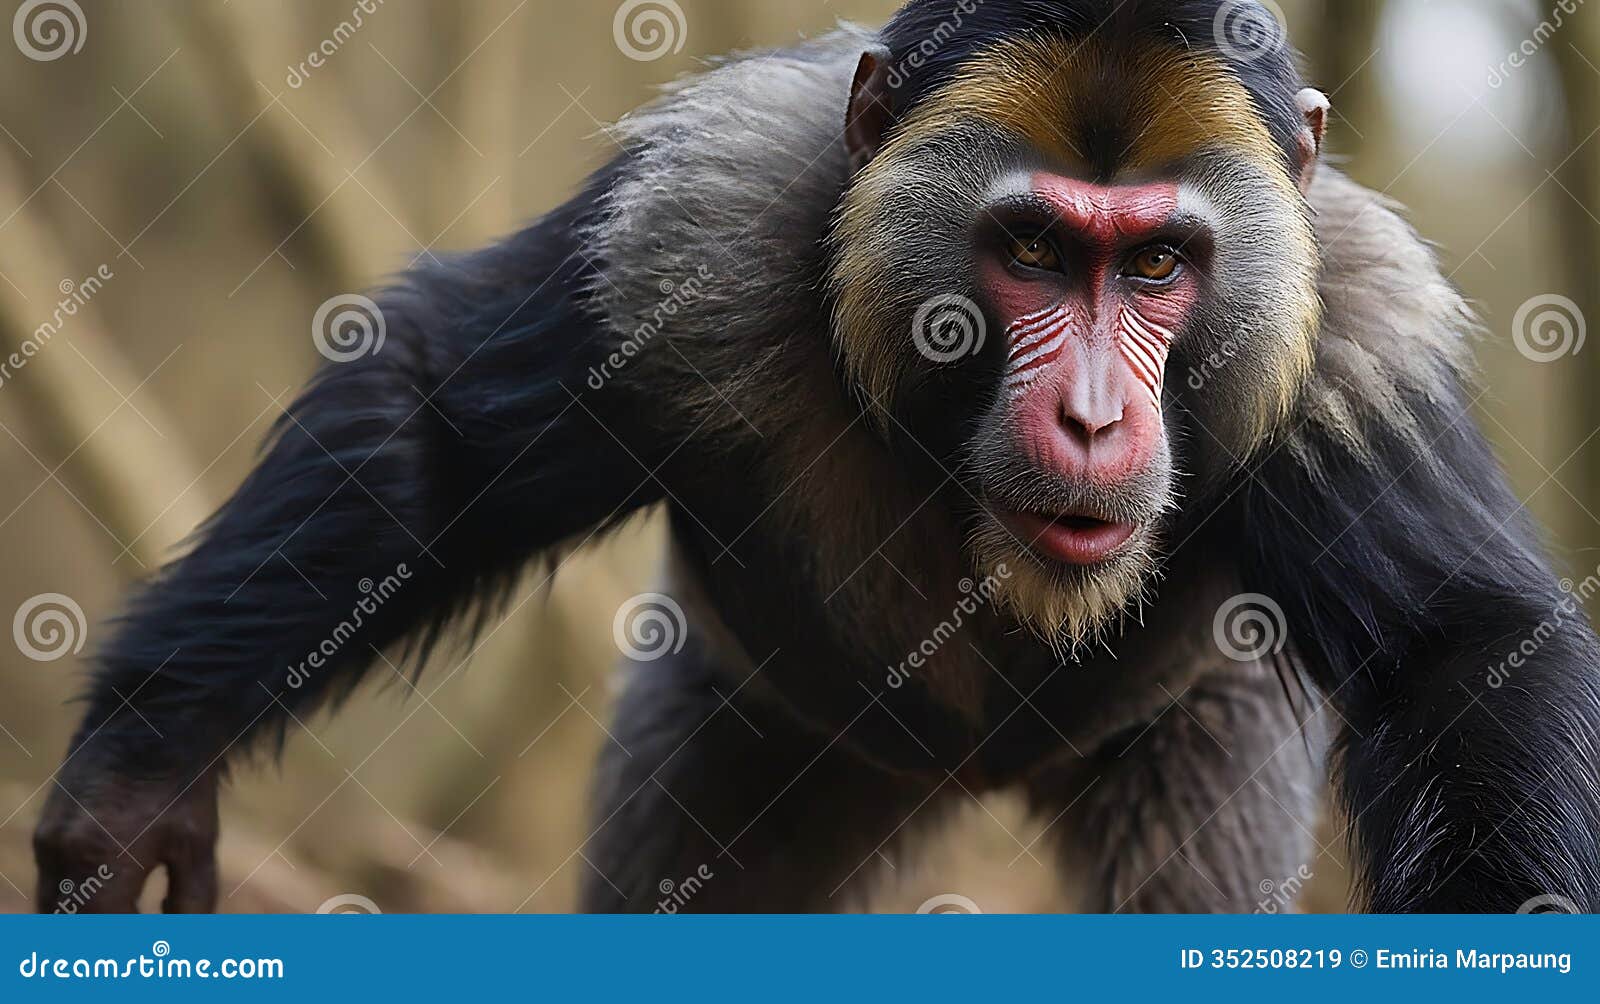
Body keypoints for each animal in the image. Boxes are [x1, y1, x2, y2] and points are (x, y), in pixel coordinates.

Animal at [32, 0, 1600, 914]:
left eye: (1158, 264)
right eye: (1034, 251)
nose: (1095, 416)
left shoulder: (1352, 329)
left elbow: (1462, 656)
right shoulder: (699, 214)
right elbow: (439, 436)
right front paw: (140, 767)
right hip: (767, 738)